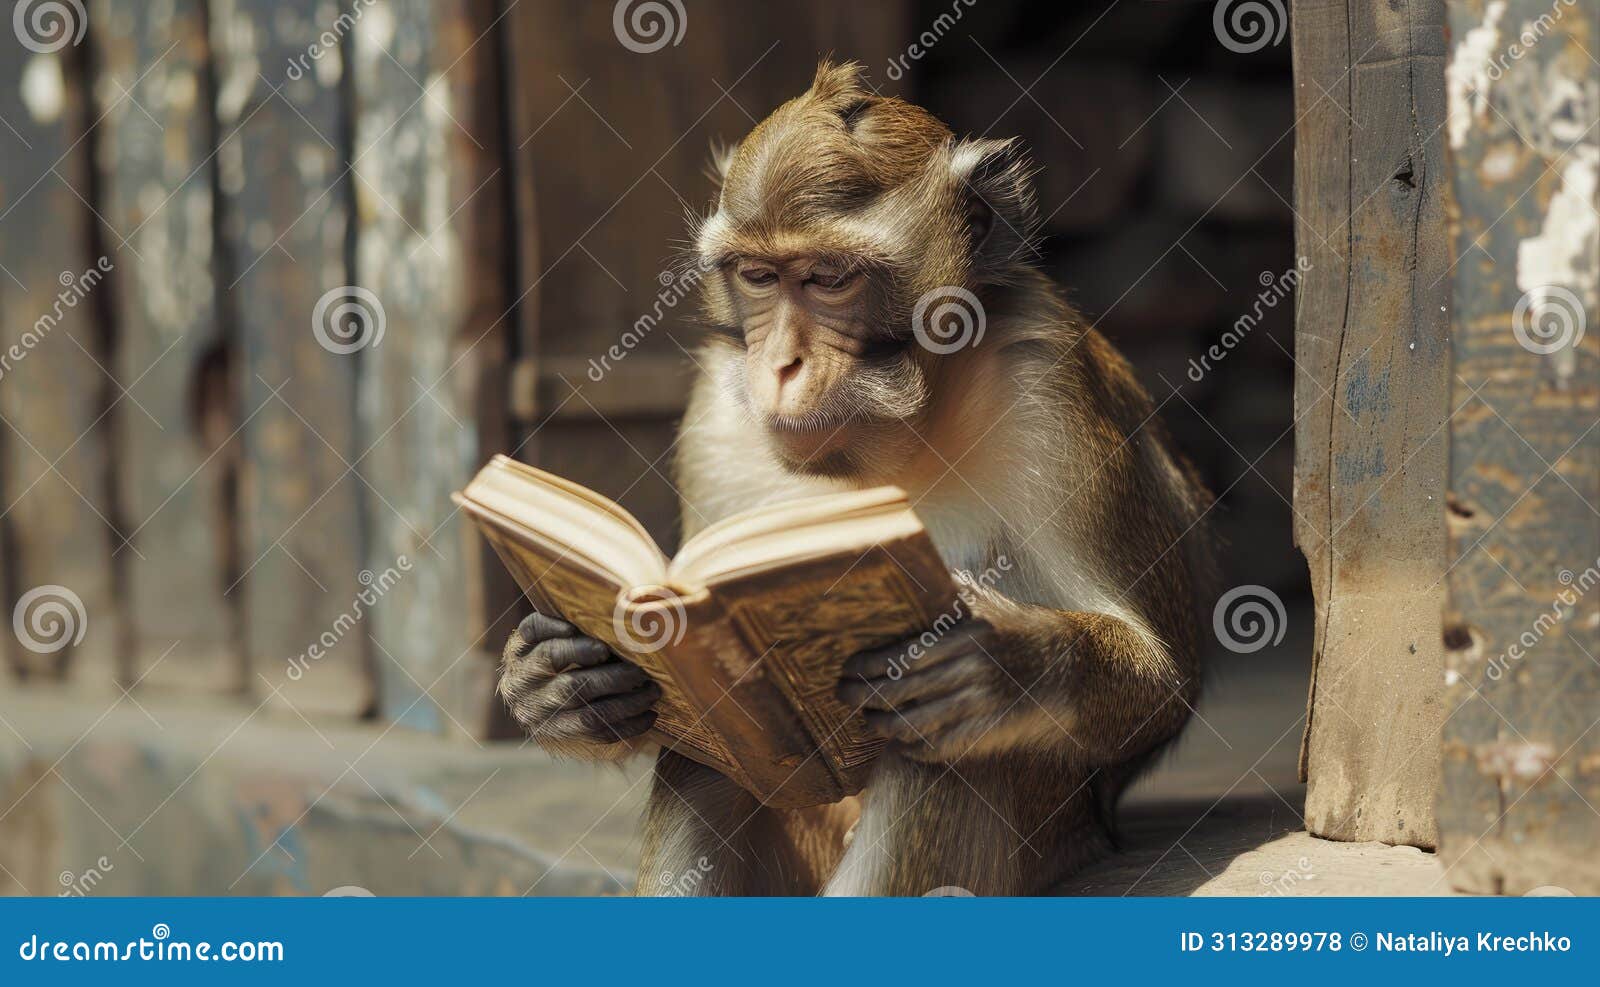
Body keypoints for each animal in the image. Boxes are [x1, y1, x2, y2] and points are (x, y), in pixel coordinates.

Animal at [499, 61, 1215, 896]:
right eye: (757, 275)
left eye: (828, 278)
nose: (780, 364)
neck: (896, 434)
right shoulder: (715, 413)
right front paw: (552, 681)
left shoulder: (1050, 384)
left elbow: (1162, 682)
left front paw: (1005, 660)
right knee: (708, 760)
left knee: (942, 748)